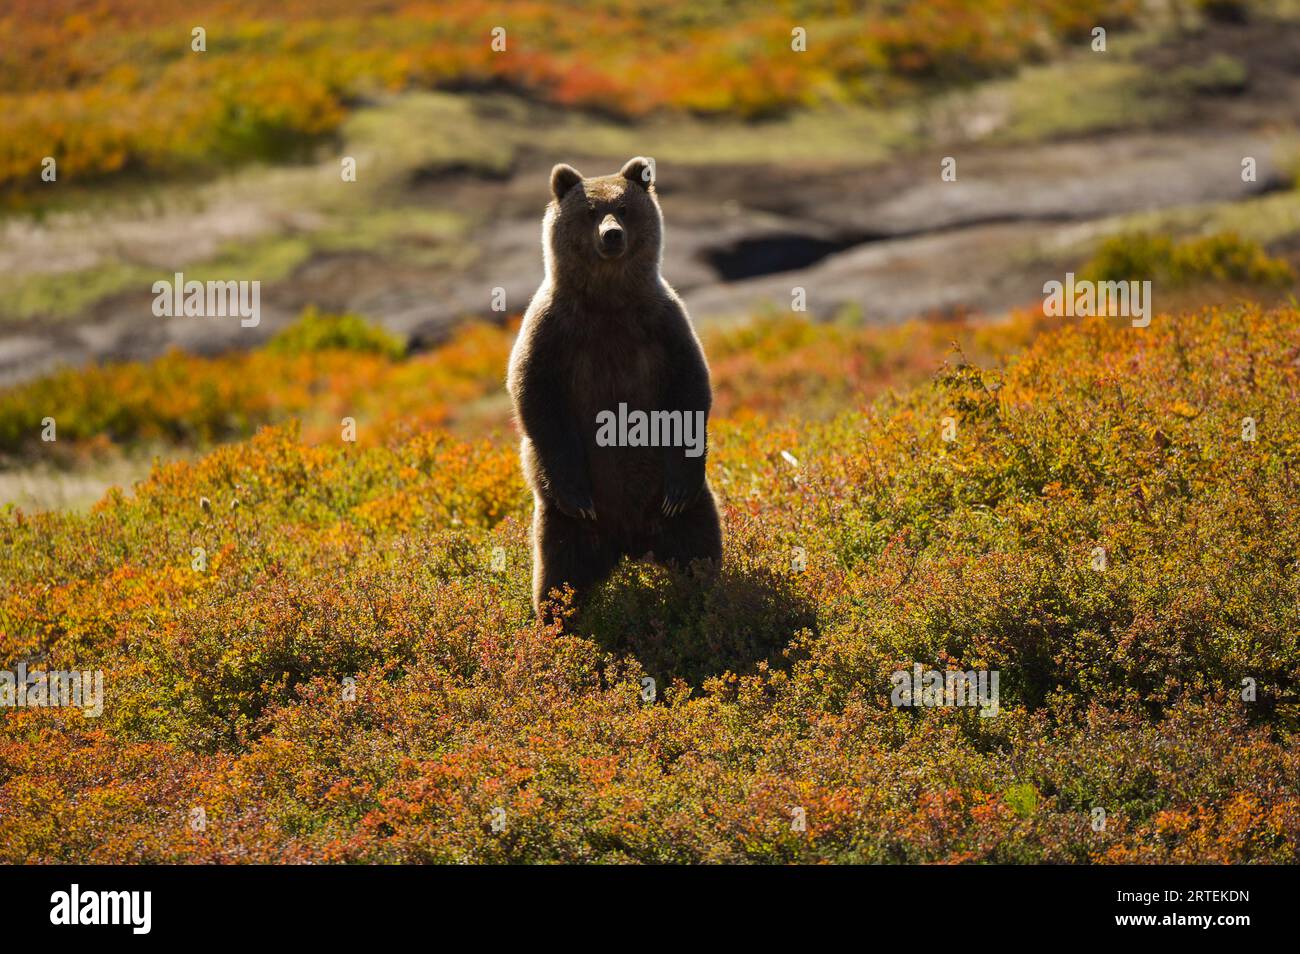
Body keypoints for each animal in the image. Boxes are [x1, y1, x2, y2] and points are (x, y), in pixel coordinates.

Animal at [507, 156, 722, 617]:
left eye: (623, 208)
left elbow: (691, 387)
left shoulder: (662, 321)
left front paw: (679, 485)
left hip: (685, 512)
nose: (611, 234)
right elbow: (534, 394)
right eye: (591, 211)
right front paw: (576, 491)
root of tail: (629, 543)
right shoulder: (553, 328)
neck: (608, 302)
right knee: (557, 572)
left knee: (700, 546)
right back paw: (554, 621)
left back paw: (708, 602)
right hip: (561, 525)